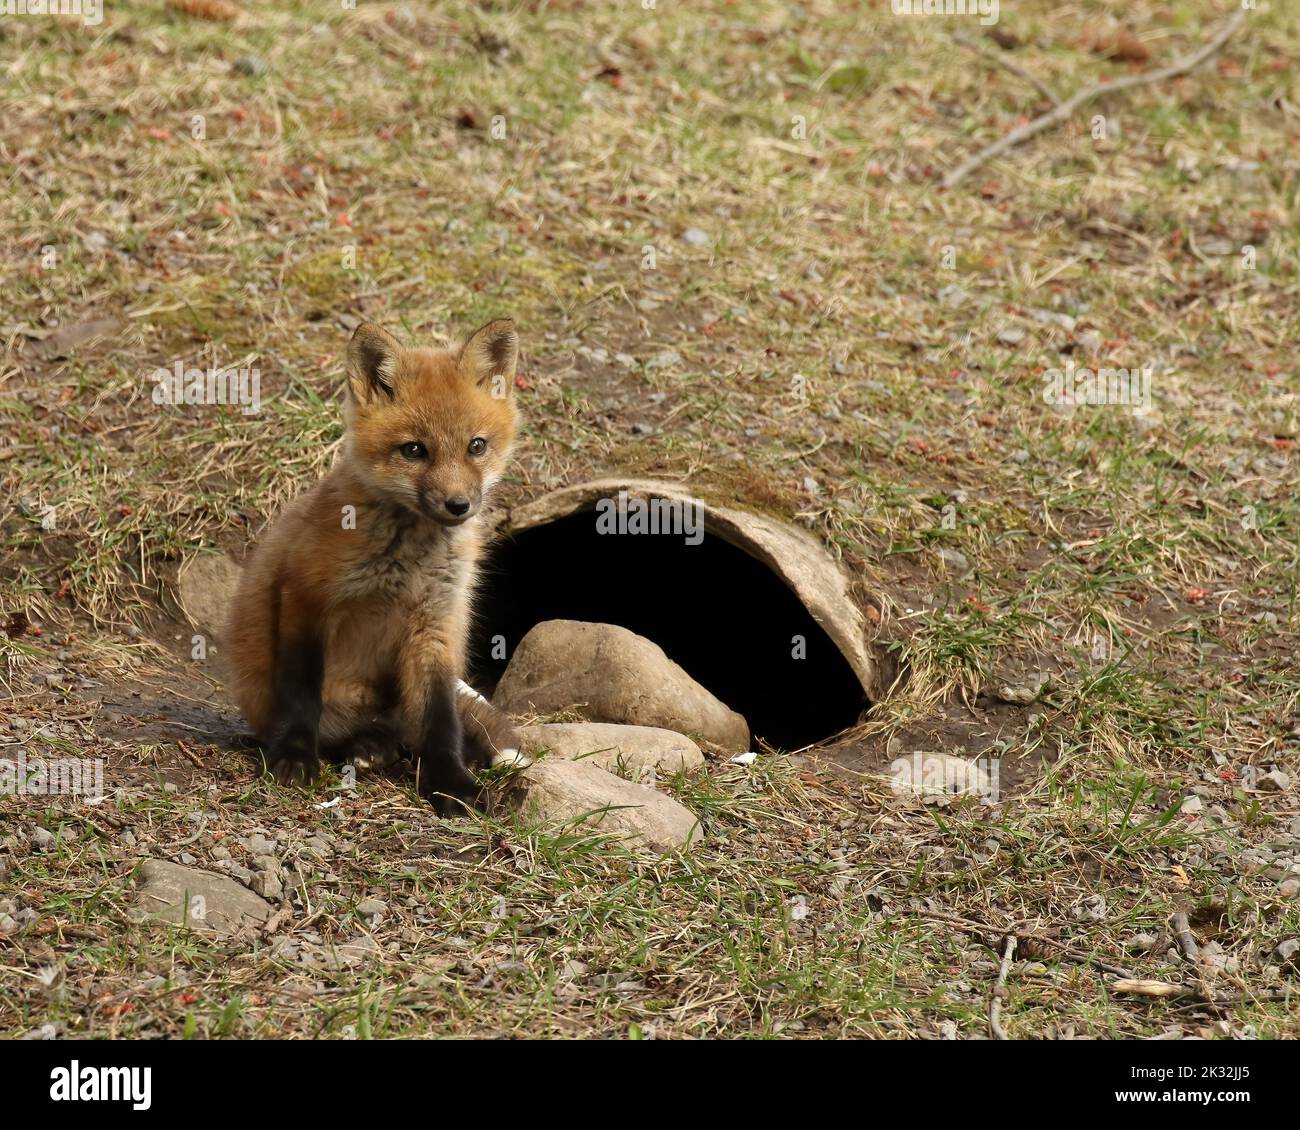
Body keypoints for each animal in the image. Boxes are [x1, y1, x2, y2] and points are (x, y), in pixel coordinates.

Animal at [224, 319, 528, 814]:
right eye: (414, 450)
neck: (406, 564)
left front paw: (450, 783)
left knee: (413, 732)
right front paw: (294, 757)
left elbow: (440, 721)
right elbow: (300, 693)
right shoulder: (306, 596)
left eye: (476, 446)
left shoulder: (436, 624)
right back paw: (367, 748)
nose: (458, 505)